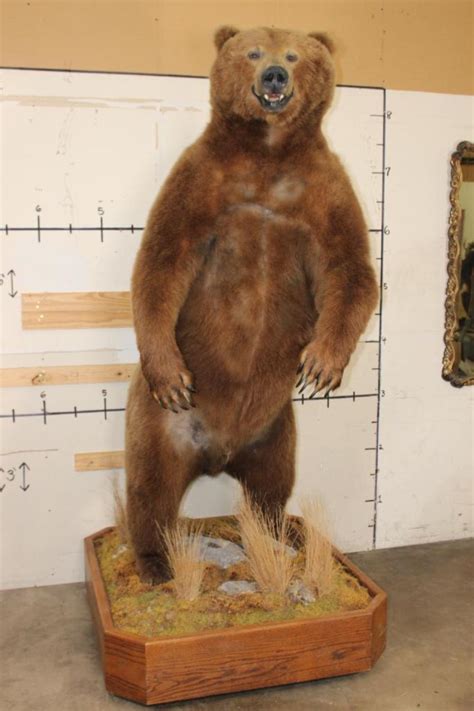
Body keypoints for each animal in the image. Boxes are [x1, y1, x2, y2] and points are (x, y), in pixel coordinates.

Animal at [125, 25, 379, 583]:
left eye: (295, 54)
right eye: (254, 52)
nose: (275, 76)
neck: (267, 153)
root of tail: (219, 455)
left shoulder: (324, 191)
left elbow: (350, 270)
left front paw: (321, 367)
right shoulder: (199, 180)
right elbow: (161, 259)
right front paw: (170, 375)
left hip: (276, 430)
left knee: (271, 485)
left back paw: (284, 533)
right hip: (159, 427)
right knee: (149, 489)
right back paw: (156, 565)